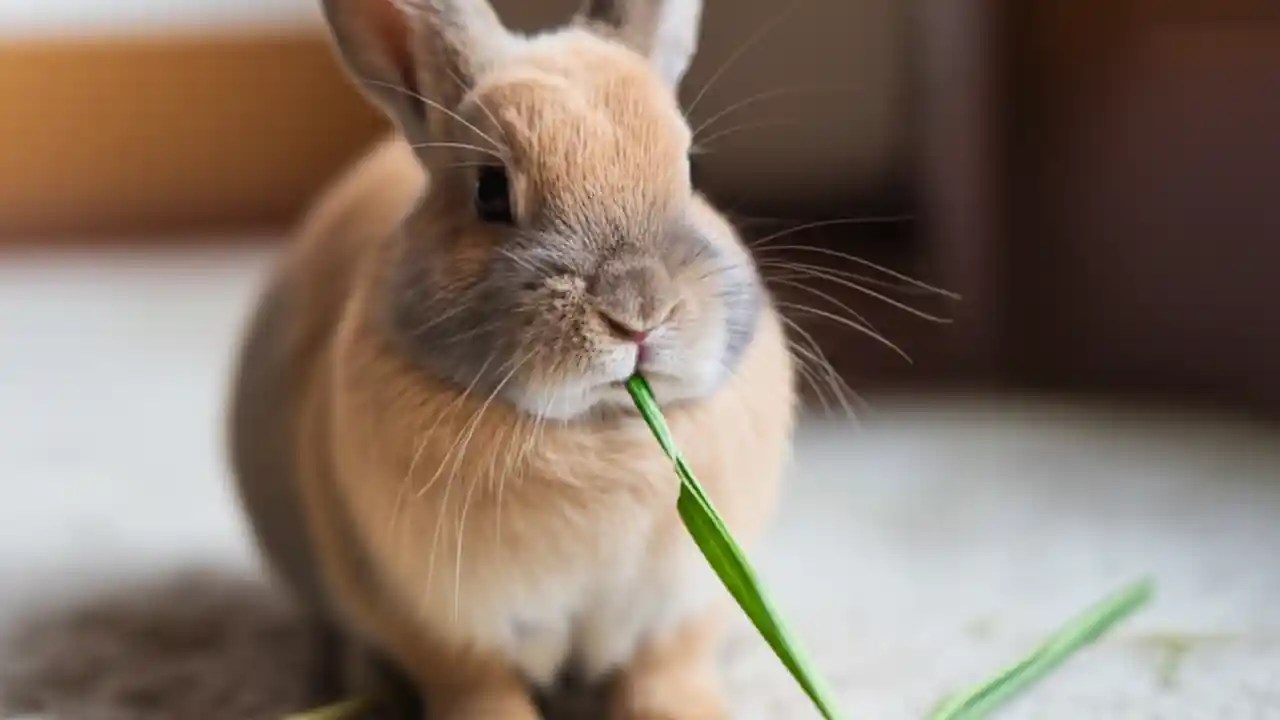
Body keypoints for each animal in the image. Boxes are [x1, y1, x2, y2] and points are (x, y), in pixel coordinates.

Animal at [227, 0, 795, 718]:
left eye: (689, 166)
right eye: (490, 190)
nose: (638, 312)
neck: (595, 428)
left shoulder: (678, 611)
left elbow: (664, 674)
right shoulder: (437, 624)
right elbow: (479, 688)